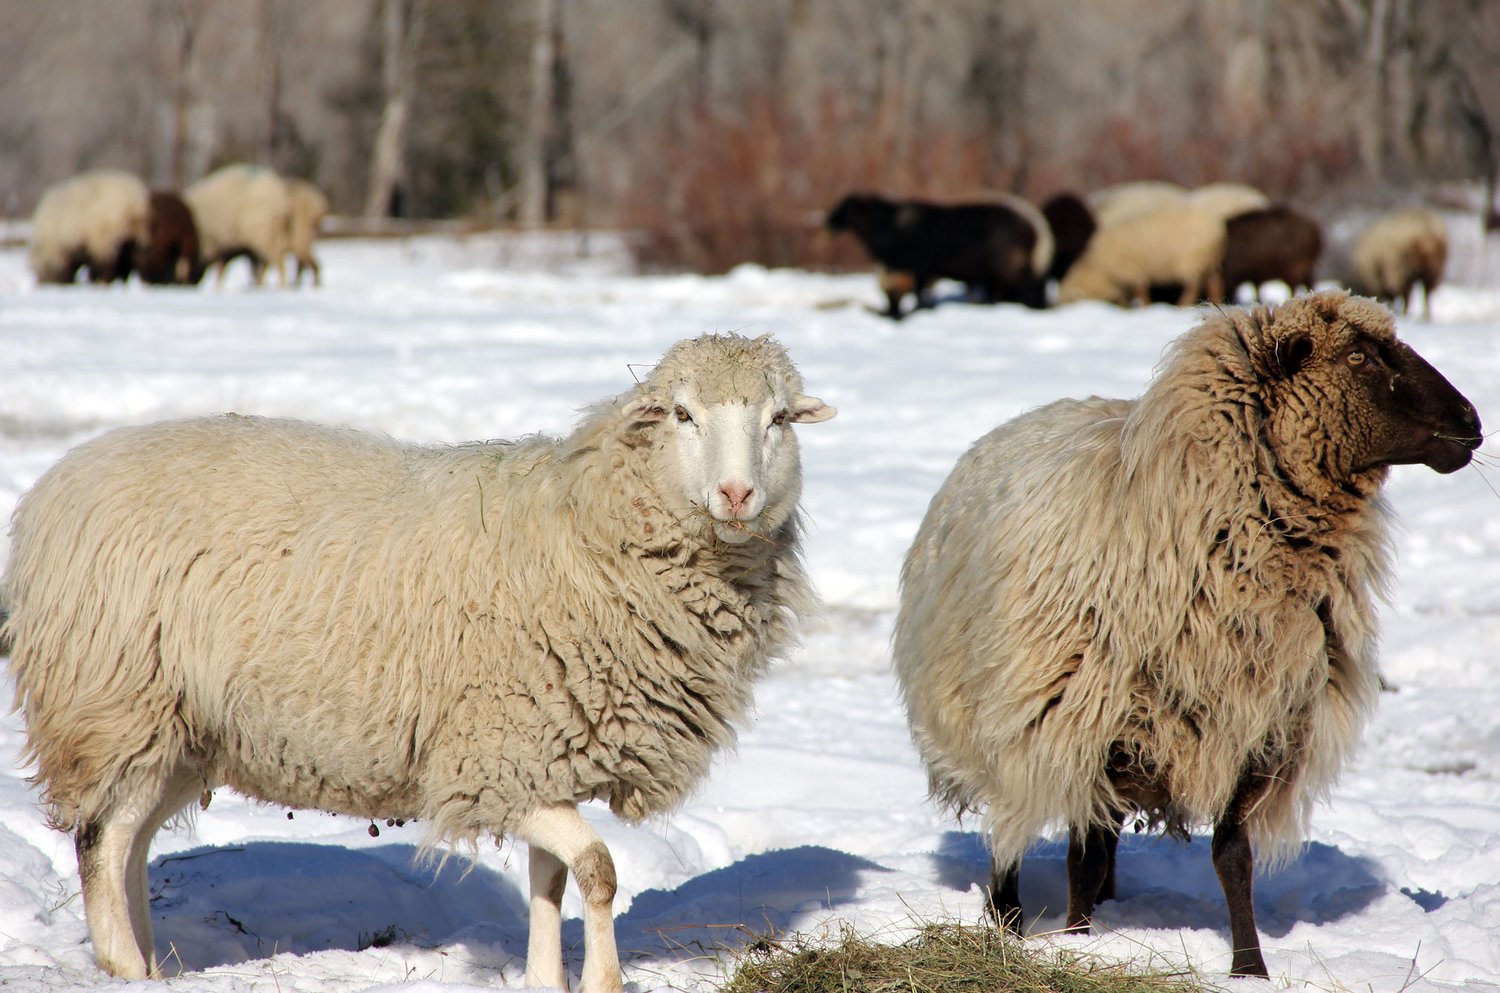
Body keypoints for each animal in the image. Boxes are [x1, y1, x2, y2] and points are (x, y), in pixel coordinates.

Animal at [1, 333, 836, 990]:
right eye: (684, 414)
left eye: (779, 419)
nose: (737, 492)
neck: (590, 523)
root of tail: (53, 490)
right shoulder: (490, 757)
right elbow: (598, 868)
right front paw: (603, 980)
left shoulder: (539, 760)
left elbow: (553, 875)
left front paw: (545, 976)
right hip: (116, 700)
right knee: (103, 840)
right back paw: (127, 968)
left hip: (183, 728)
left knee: (132, 841)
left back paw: (152, 964)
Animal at [825, 192, 1049, 318]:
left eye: (847, 208)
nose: (828, 221)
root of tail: (1037, 230)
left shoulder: (920, 266)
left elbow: (919, 294)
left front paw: (919, 309)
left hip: (1009, 268)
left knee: (1030, 289)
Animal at [891, 291, 1480, 978]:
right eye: (1358, 355)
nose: (1471, 422)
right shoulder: (1081, 725)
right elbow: (1080, 857)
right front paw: (1078, 946)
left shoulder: (1260, 726)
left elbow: (1232, 855)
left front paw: (1249, 968)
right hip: (1004, 724)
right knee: (1013, 829)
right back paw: (1010, 919)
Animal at [1058, 201, 1225, 307]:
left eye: (1070, 302)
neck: (1099, 269)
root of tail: (1216, 227)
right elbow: (1126, 297)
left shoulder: (1132, 271)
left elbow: (1141, 293)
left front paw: (1142, 307)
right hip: (1210, 261)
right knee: (1214, 283)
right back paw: (1217, 301)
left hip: (1192, 260)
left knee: (1194, 285)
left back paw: (1183, 303)